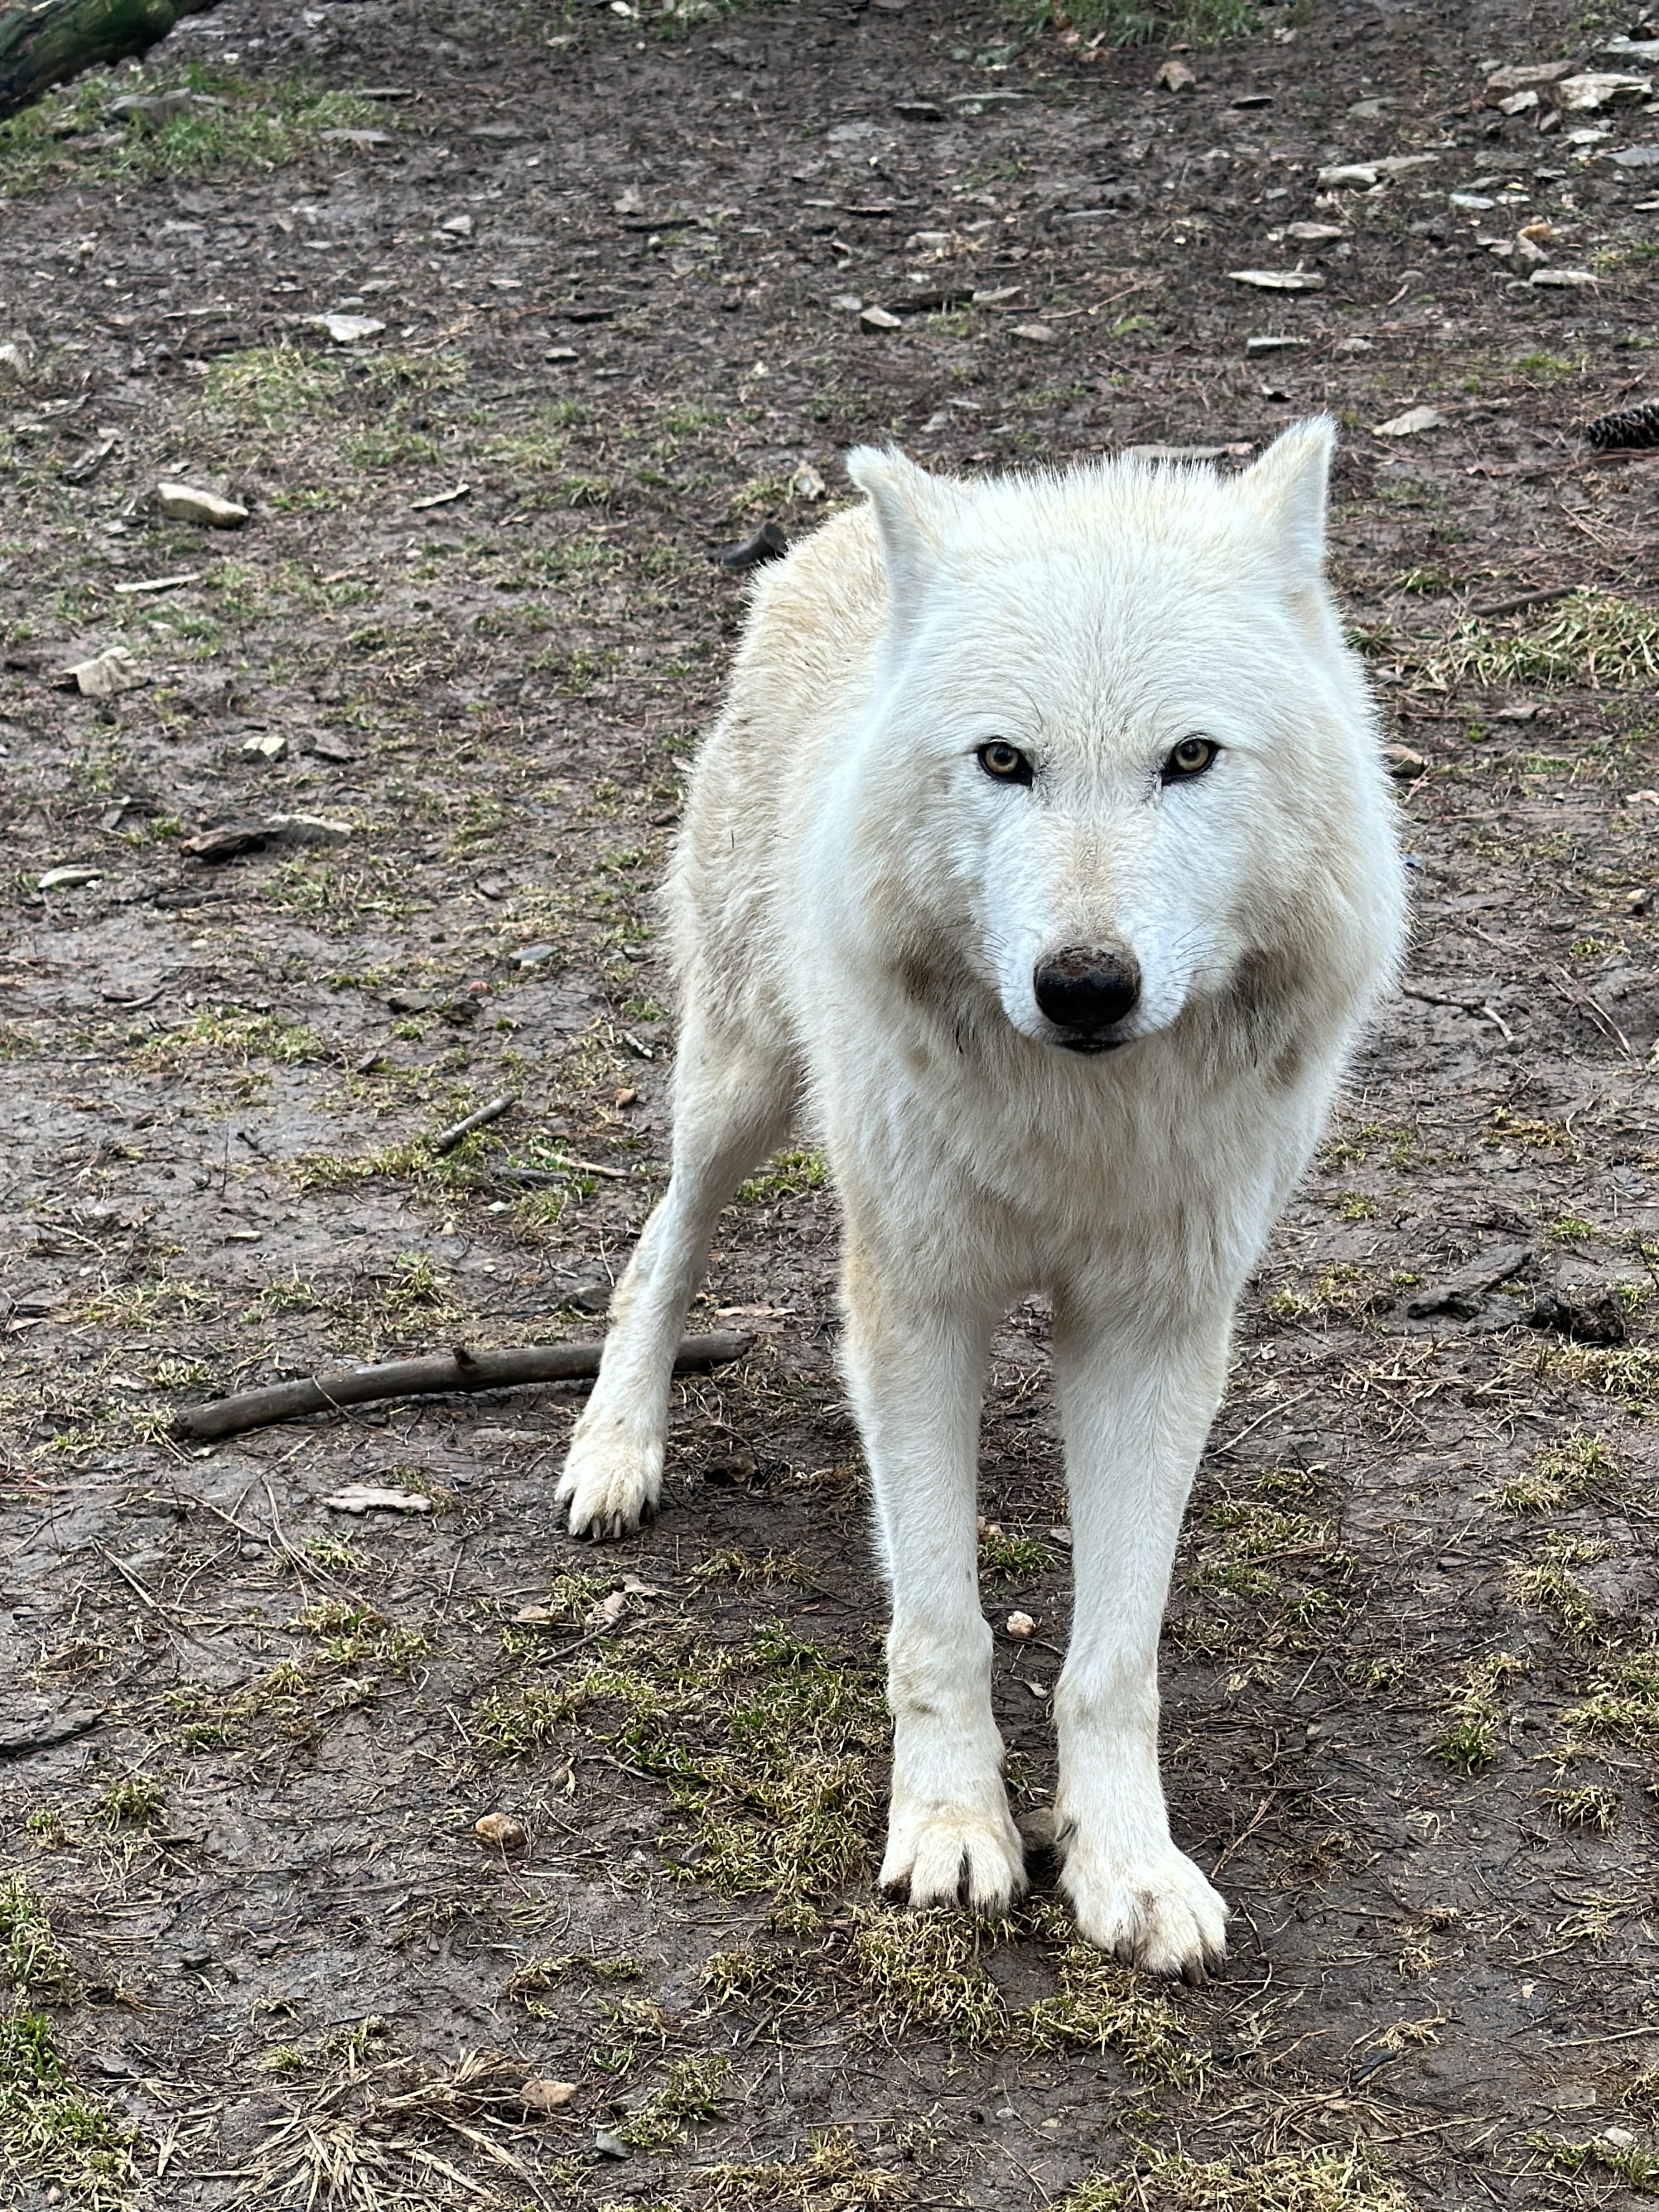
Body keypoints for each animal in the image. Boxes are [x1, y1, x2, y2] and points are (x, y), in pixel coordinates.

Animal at [556, 419, 1405, 1979]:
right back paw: (616, 1447)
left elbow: (1114, 1657)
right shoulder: (915, 1304)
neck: (1074, 1116)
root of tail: (839, 529)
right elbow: (939, 1625)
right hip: (742, 1082)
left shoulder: (1152, 1332)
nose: (1083, 985)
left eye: (1188, 758)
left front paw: (1125, 1862)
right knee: (661, 1241)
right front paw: (953, 1831)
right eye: (1003, 760)